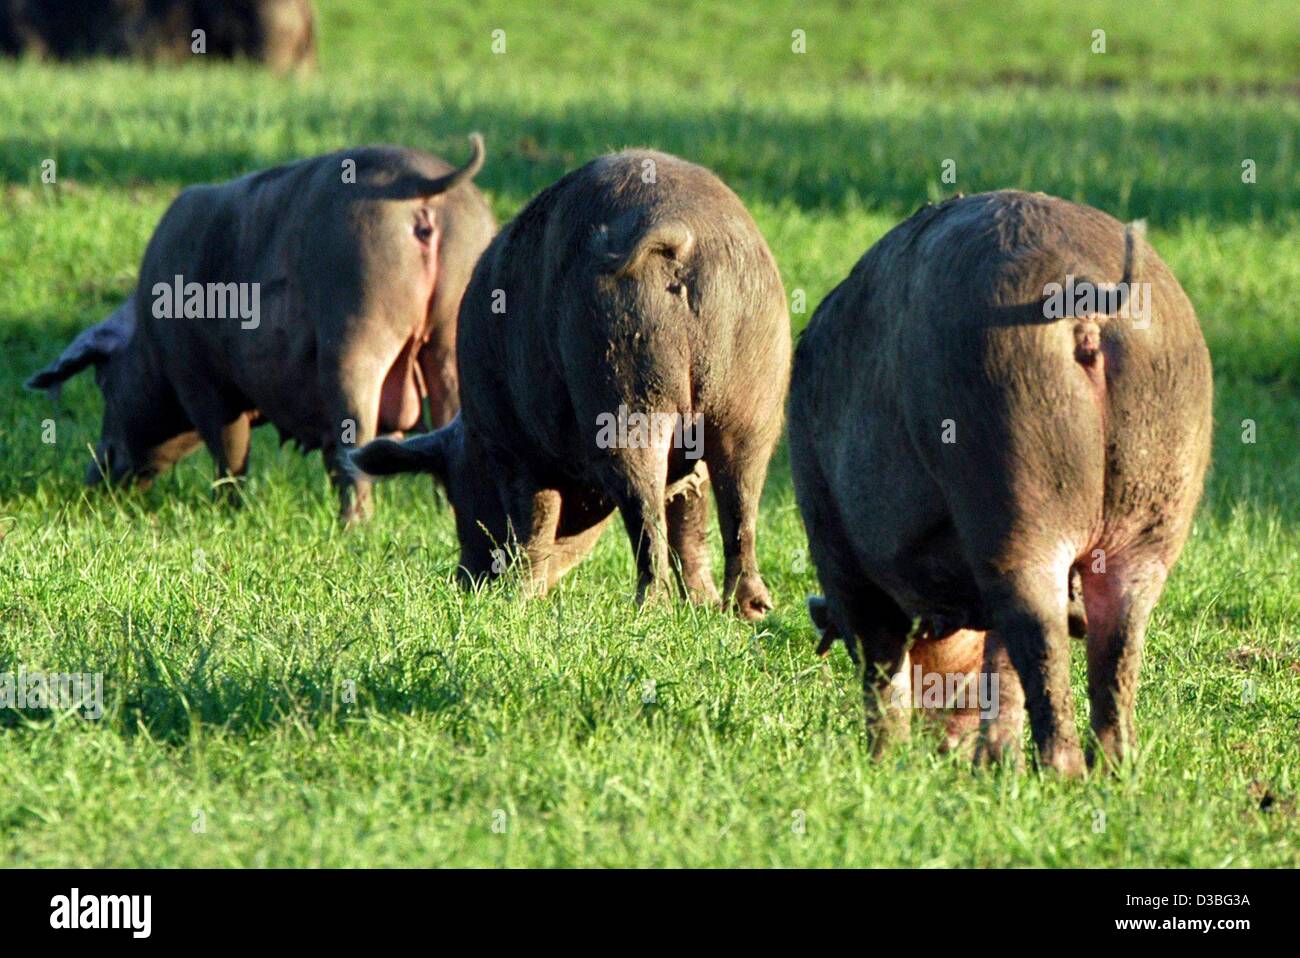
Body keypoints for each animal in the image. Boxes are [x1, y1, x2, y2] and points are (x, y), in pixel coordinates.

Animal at [27, 135, 496, 524]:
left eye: (103, 383)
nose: (94, 476)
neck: (147, 340)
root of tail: (423, 185)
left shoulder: (201, 381)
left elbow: (229, 449)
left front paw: (228, 512)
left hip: (359, 323)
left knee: (357, 428)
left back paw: (353, 525)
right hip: (451, 332)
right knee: (449, 419)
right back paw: (442, 513)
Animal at [351, 150, 791, 619]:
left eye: (456, 491)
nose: (464, 581)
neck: (474, 432)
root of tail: (679, 230)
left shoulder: (514, 447)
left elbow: (534, 519)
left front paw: (519, 598)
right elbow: (690, 517)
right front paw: (702, 604)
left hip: (621, 384)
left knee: (643, 501)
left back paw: (648, 607)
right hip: (754, 392)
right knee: (739, 496)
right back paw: (745, 609)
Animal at [789, 191, 1212, 774]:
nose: (943, 747)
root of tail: (1089, 299)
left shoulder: (838, 549)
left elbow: (883, 671)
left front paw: (883, 763)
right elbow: (998, 666)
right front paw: (990, 763)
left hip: (1013, 479)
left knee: (1040, 632)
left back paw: (1060, 771)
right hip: (1156, 505)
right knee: (1117, 640)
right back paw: (1111, 768)